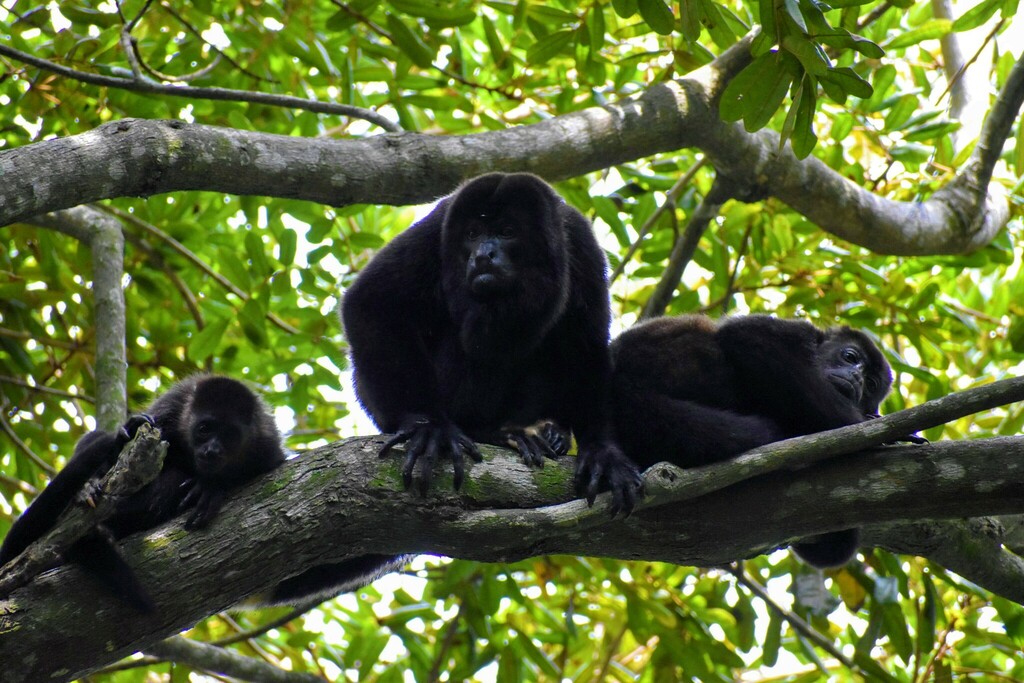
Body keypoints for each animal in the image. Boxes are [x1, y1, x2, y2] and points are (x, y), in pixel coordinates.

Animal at [341, 173, 642, 514]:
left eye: (507, 231)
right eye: (472, 233)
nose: (483, 255)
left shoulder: (580, 240)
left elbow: (587, 344)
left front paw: (601, 452)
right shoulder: (437, 227)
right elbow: (372, 300)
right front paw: (427, 426)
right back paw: (493, 433)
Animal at [610, 315, 896, 568]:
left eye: (871, 384)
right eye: (850, 357)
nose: (857, 378)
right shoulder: (796, 332)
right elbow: (748, 337)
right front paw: (868, 427)